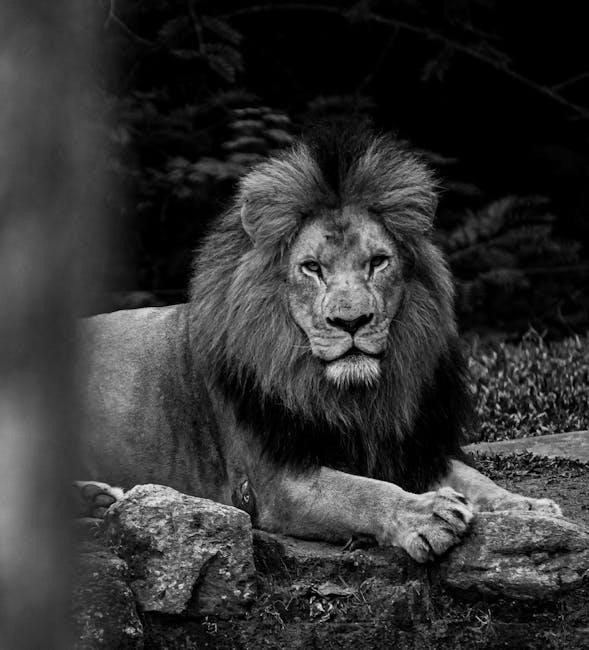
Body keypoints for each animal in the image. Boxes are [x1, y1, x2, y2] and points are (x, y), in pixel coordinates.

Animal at [77, 125, 560, 562]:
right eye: (312, 268)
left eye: (378, 262)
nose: (351, 321)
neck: (349, 397)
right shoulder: (274, 481)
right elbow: (361, 492)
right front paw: (426, 514)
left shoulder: (409, 446)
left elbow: (476, 478)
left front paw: (528, 509)